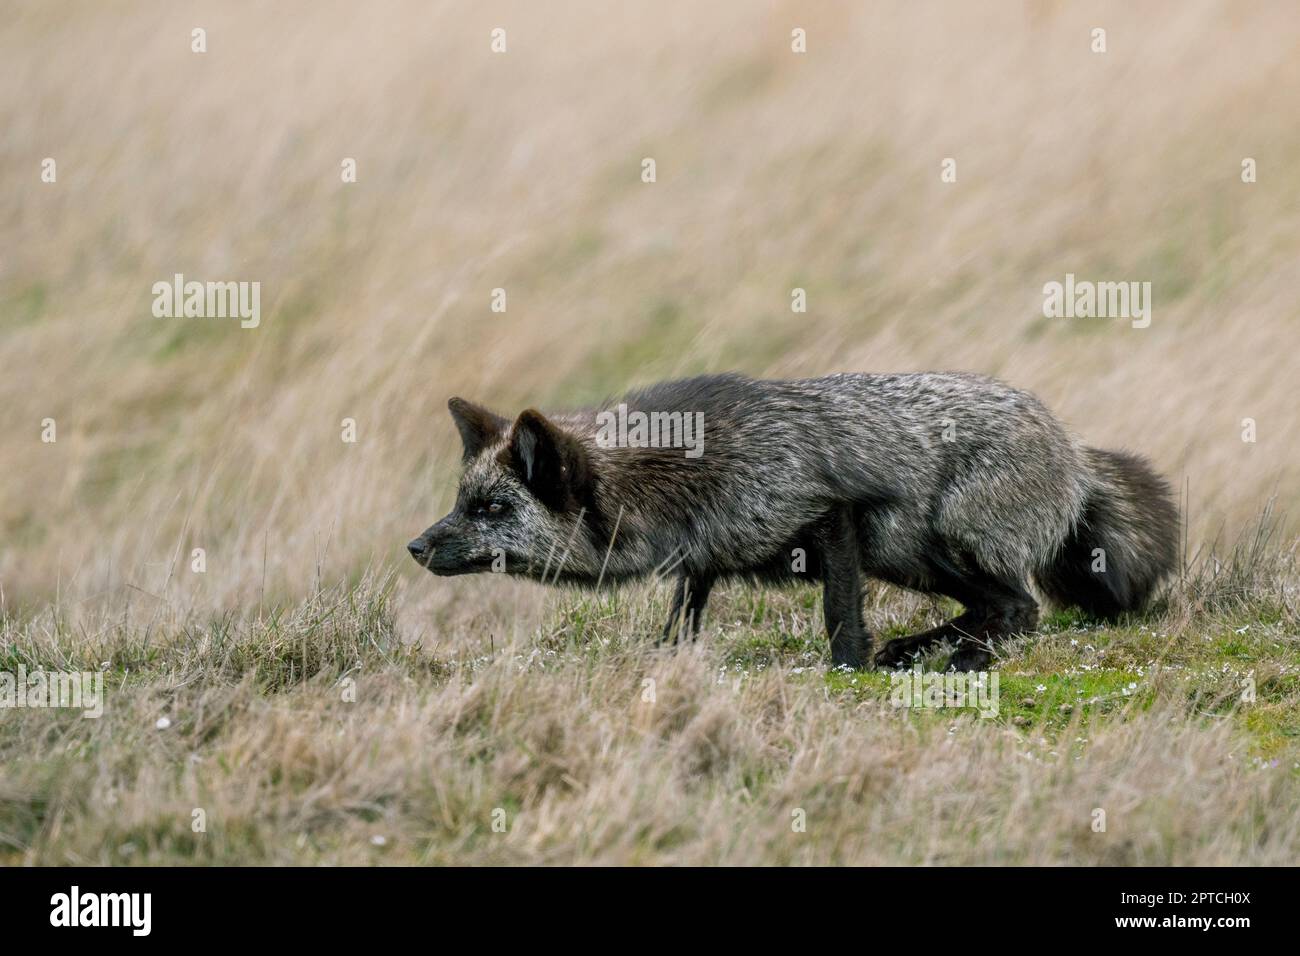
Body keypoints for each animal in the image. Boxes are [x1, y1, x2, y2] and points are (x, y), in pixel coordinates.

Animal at [407, 372, 1179, 670]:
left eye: (491, 509)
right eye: (462, 500)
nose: (414, 546)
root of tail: (1074, 451)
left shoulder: (828, 514)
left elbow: (839, 616)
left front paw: (848, 671)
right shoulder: (705, 552)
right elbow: (683, 610)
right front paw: (668, 661)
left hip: (920, 541)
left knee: (1020, 608)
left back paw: (957, 658)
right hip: (906, 556)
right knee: (997, 606)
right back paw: (916, 649)